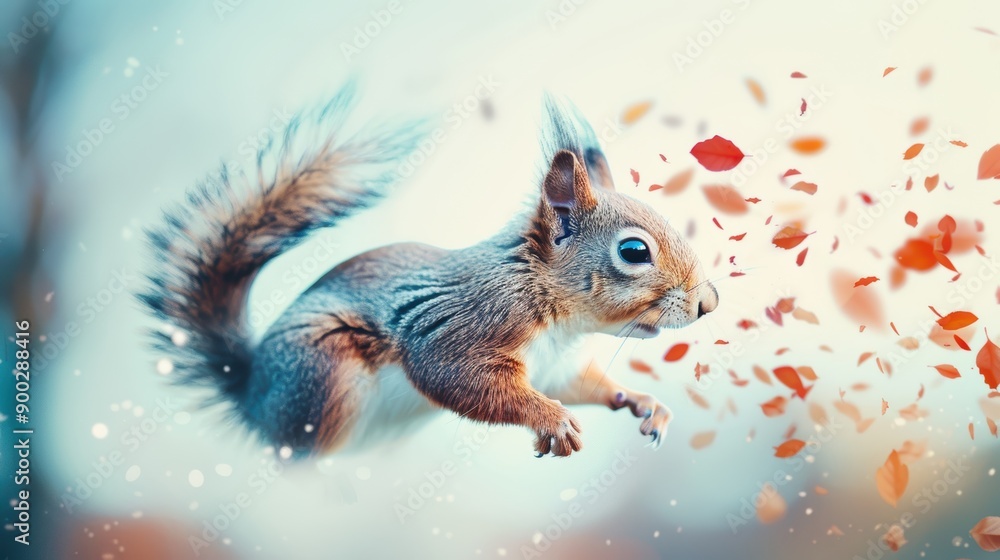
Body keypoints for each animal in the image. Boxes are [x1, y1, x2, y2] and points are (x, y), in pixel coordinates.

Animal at [139, 86, 718, 458]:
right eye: (634, 251)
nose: (708, 303)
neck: (551, 306)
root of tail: (251, 394)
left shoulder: (555, 367)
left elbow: (584, 385)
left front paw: (643, 403)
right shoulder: (466, 324)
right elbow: (456, 377)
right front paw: (552, 421)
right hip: (322, 375)